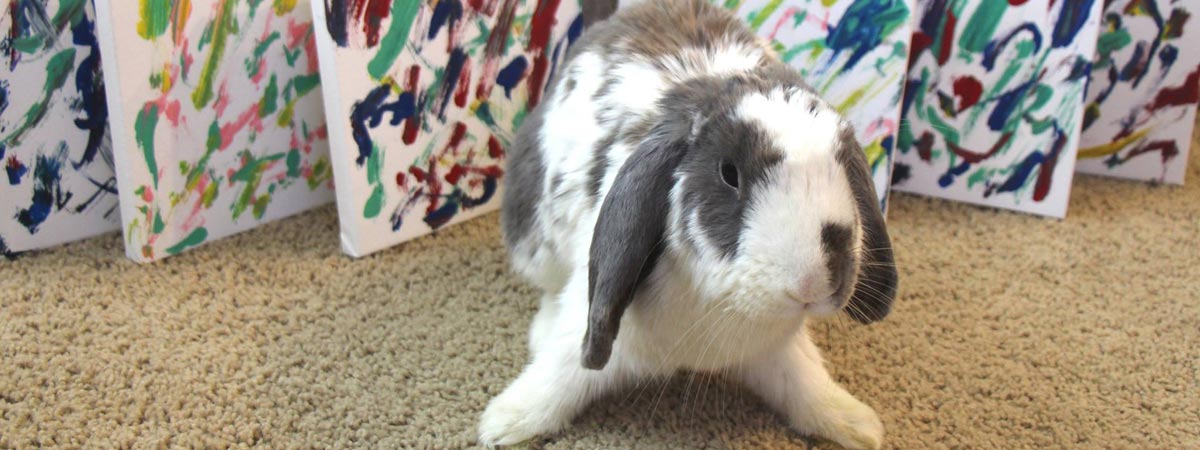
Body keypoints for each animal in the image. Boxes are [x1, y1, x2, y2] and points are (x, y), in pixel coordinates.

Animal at [481, 0, 898, 448]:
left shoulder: (777, 352)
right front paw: (504, 422)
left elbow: (804, 382)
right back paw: (541, 330)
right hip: (537, 242)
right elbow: (560, 374)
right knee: (549, 291)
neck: (722, 304)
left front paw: (856, 423)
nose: (814, 281)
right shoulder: (590, 319)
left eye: (843, 166)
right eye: (729, 174)